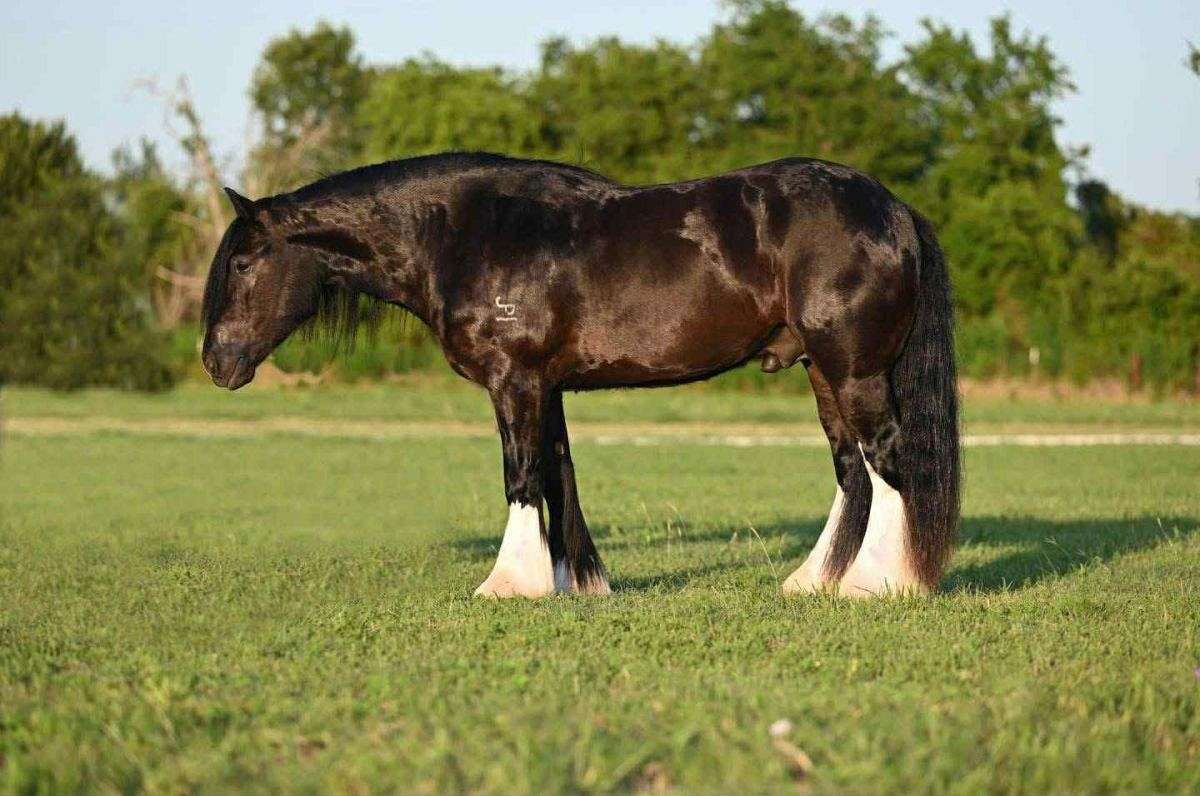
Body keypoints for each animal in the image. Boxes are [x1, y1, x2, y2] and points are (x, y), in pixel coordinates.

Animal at [200, 152, 960, 598]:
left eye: (241, 262)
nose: (215, 362)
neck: (465, 234)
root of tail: (892, 209)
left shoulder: (514, 382)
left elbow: (521, 475)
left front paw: (508, 584)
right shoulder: (547, 387)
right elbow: (558, 474)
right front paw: (573, 582)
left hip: (854, 368)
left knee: (887, 461)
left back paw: (878, 583)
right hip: (821, 371)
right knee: (852, 469)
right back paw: (811, 581)